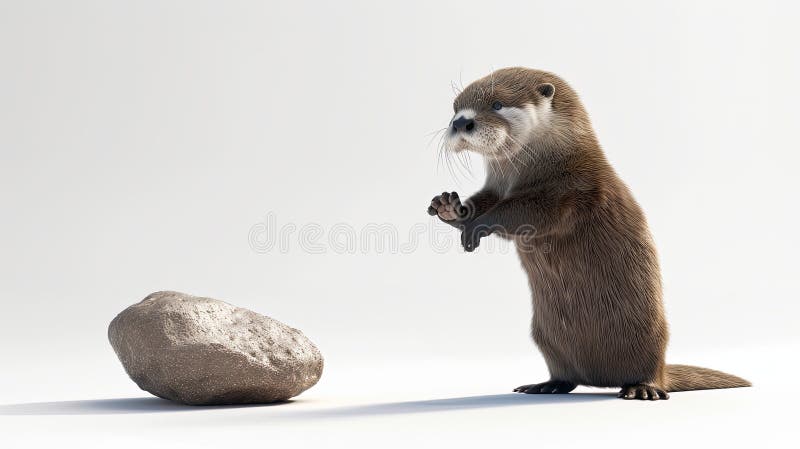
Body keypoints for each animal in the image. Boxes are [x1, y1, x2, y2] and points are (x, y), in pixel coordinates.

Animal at [427, 67, 750, 400]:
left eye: (497, 104)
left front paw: (478, 225)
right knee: (566, 375)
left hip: (651, 333)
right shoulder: (497, 187)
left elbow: (526, 214)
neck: (545, 164)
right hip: (545, 337)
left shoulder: (571, 188)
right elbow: (485, 201)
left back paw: (642, 388)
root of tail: (600, 379)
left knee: (648, 367)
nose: (460, 122)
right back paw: (547, 385)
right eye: (455, 107)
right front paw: (450, 208)